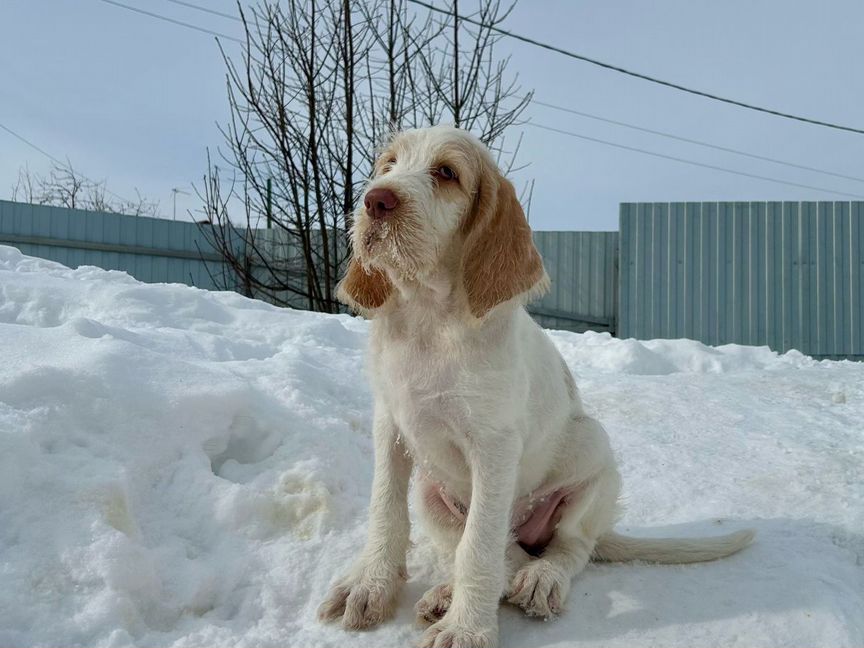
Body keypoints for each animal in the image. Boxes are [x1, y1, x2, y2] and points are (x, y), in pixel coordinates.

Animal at [316, 124, 748, 644]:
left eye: (446, 173)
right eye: (388, 165)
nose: (375, 201)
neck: (428, 320)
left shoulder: (494, 446)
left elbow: (479, 546)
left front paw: (466, 630)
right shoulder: (392, 426)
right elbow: (386, 511)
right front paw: (370, 585)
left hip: (592, 458)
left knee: (567, 547)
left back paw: (540, 579)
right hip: (431, 493)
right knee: (506, 549)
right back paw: (450, 592)